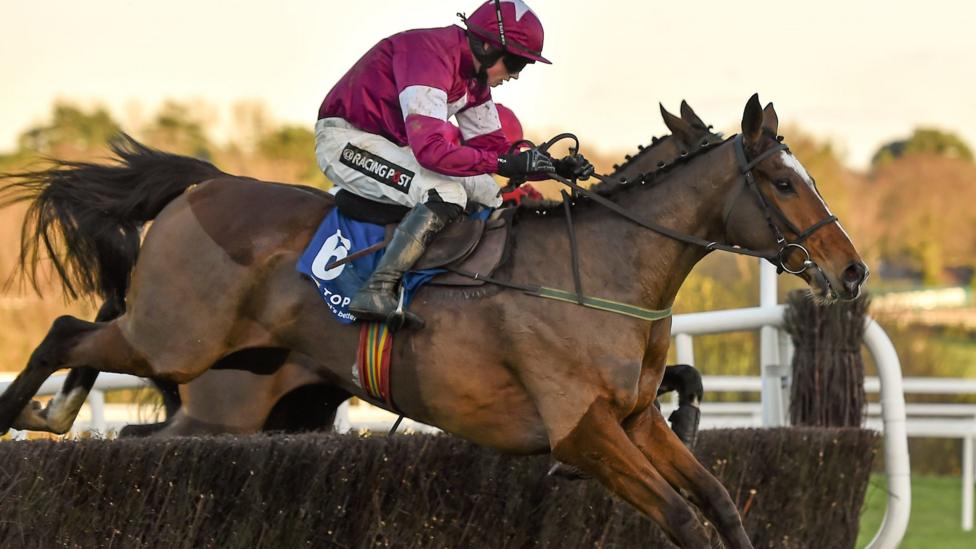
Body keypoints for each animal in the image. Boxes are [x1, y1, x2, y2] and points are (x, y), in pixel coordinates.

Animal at [0, 94, 866, 548]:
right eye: (784, 181)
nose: (853, 270)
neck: (602, 268)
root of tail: (203, 183)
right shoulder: (582, 429)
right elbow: (684, 515)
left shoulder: (631, 416)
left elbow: (717, 496)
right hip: (179, 343)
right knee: (66, 332)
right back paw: (26, 410)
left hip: (240, 375)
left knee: (108, 369)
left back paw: (55, 410)